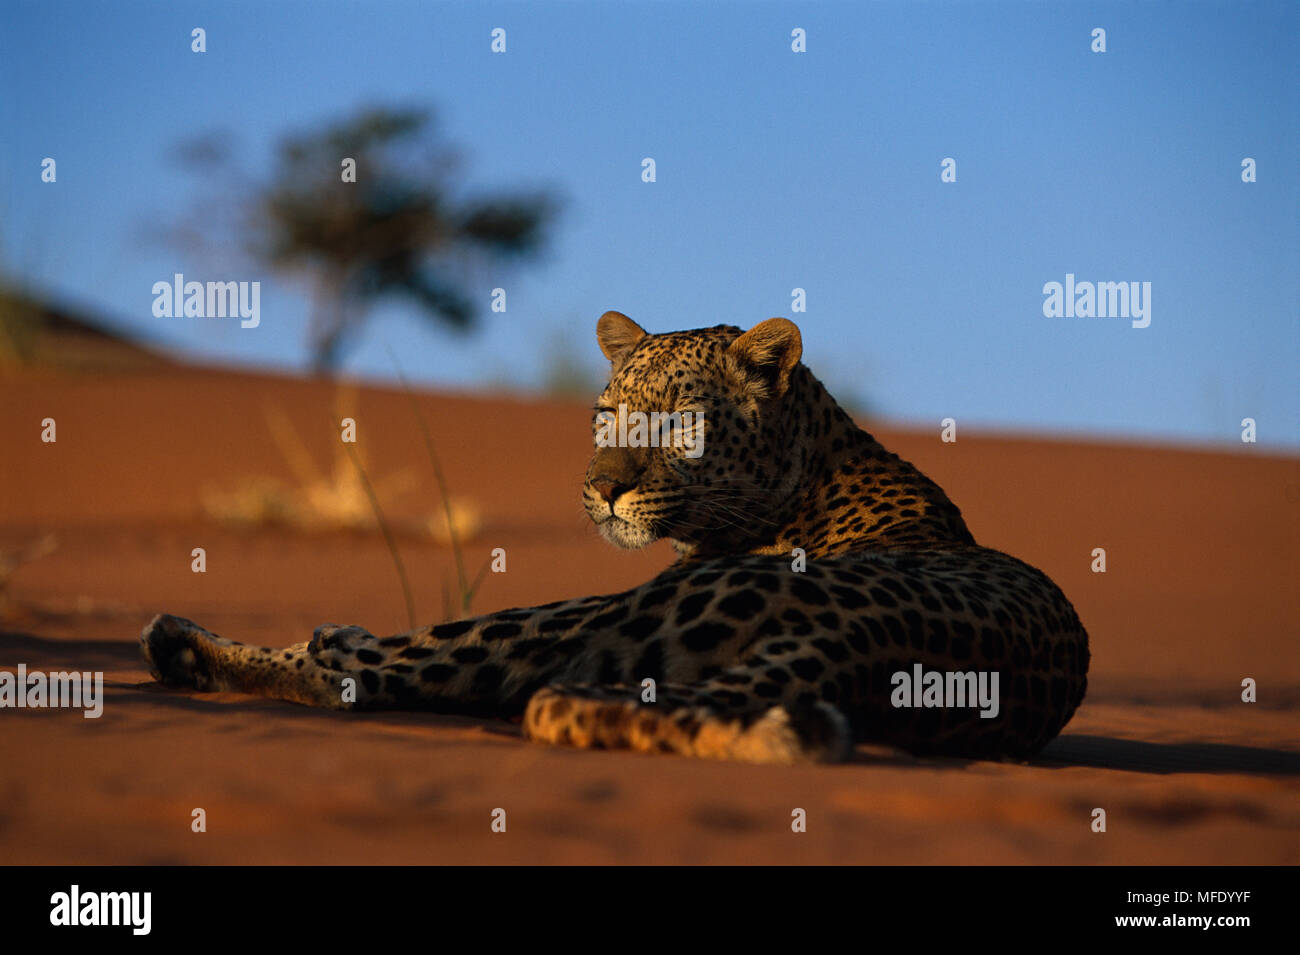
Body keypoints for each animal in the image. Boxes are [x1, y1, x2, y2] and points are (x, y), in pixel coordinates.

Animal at [140, 312, 1090, 764]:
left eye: (677, 423)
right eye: (606, 414)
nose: (602, 488)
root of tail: (872, 633)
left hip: (608, 616)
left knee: (373, 675)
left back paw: (189, 642)